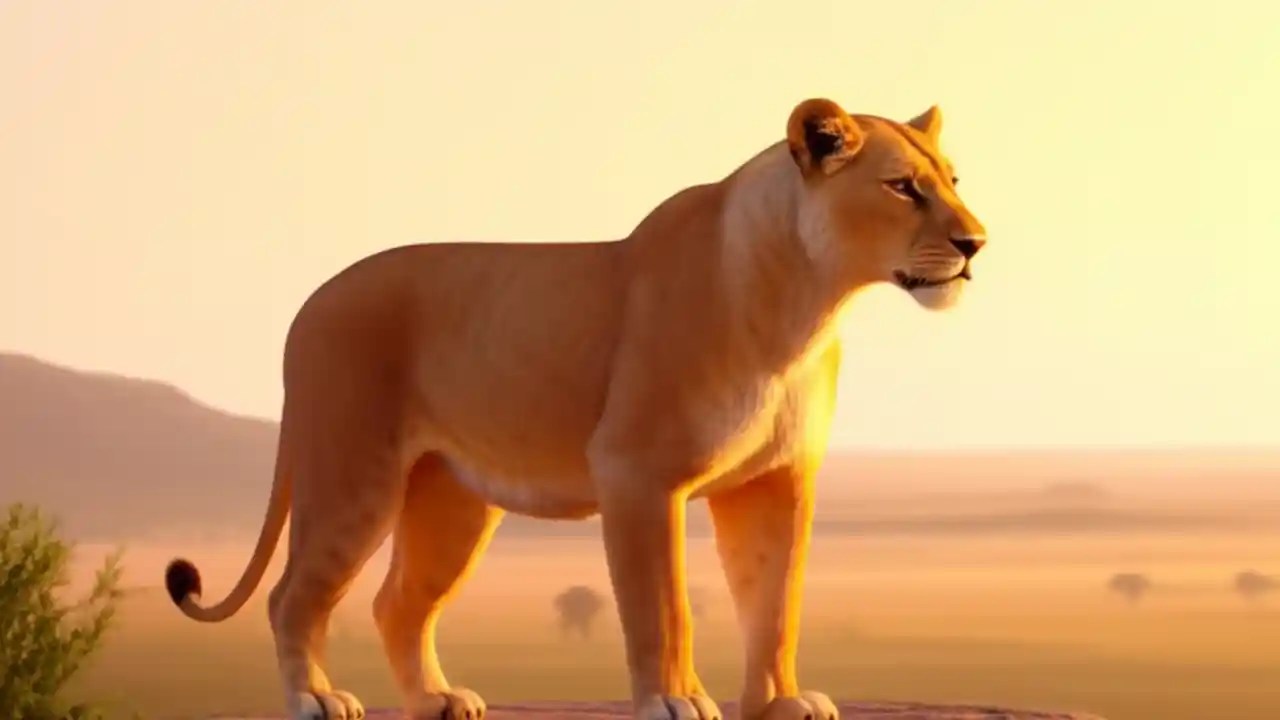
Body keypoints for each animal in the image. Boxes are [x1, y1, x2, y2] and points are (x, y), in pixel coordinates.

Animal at [164, 97, 987, 720]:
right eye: (903, 188)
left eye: (952, 179)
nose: (975, 243)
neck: (807, 303)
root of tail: (311, 301)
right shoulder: (637, 473)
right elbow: (663, 605)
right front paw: (674, 701)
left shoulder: (776, 481)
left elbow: (774, 601)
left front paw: (782, 702)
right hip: (352, 476)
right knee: (292, 596)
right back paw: (316, 699)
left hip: (450, 501)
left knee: (396, 604)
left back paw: (436, 701)